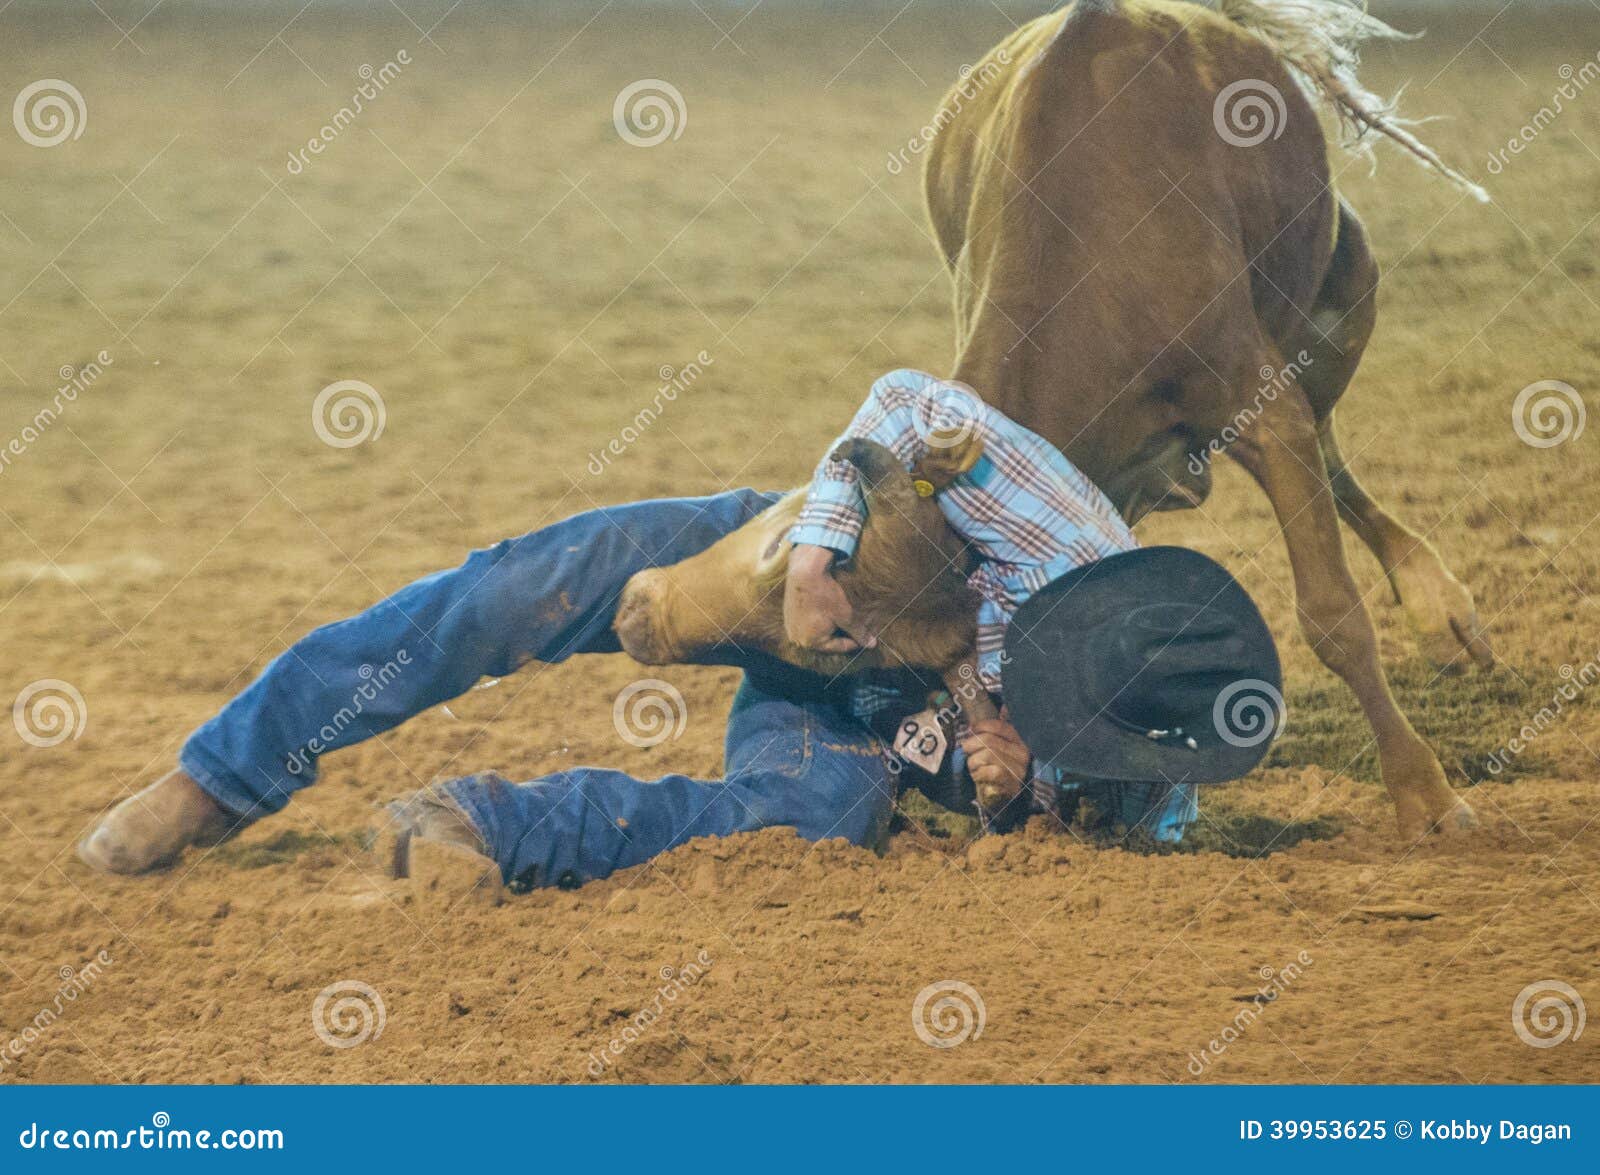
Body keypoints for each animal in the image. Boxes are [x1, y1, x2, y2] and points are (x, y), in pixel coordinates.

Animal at [618, 0, 1493, 840]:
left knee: (1332, 440)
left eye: (835, 648)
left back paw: (1439, 607)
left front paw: (1424, 794)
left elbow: (1332, 614)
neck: (1091, 252)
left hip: (1345, 294)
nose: (636, 615)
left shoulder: (1262, 407)